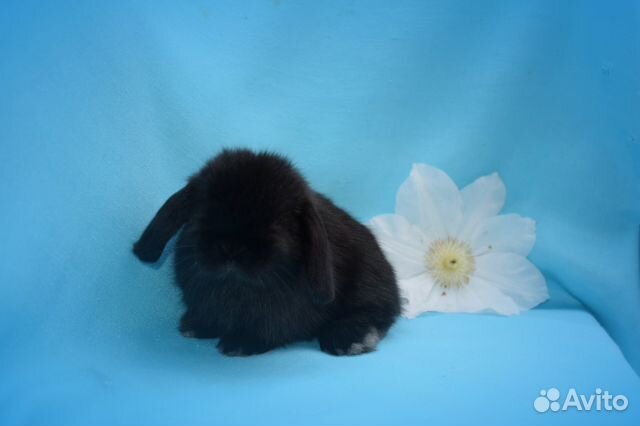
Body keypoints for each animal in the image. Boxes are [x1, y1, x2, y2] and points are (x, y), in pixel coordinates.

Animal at [133, 149, 400, 356]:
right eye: (204, 212)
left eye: (276, 222)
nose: (232, 247)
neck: (235, 286)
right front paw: (195, 326)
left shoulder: (281, 317)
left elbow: (269, 332)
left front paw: (239, 344)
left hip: (368, 285)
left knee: (377, 313)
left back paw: (349, 339)